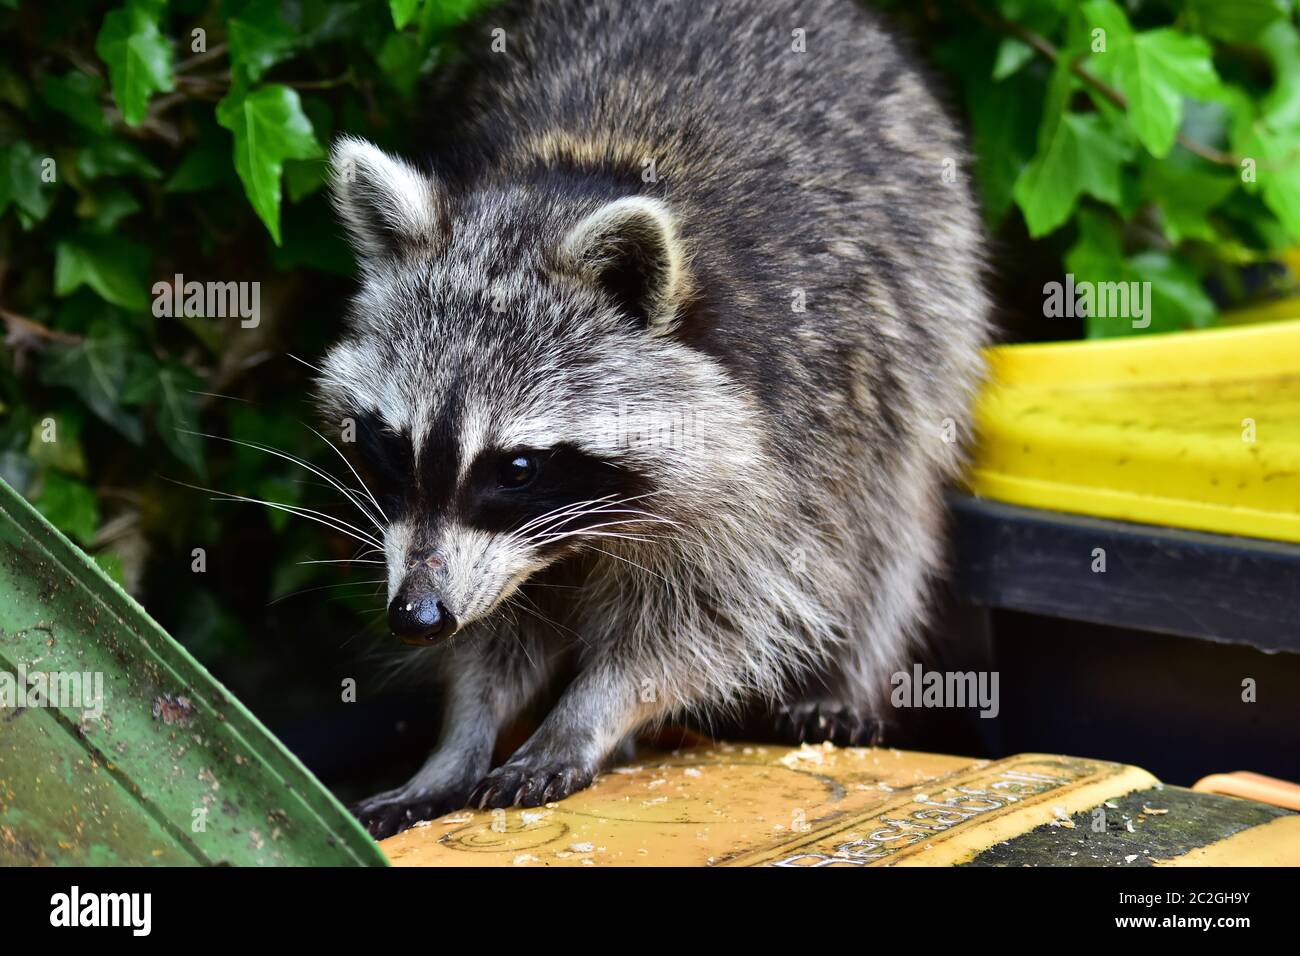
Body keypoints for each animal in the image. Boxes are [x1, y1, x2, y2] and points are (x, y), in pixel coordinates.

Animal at [317, 0, 991, 837]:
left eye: (516, 468)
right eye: (392, 445)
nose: (416, 616)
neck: (561, 183)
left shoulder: (780, 448)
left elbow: (706, 621)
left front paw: (586, 714)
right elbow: (498, 629)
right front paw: (461, 735)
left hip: (925, 318)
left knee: (884, 526)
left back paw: (843, 679)